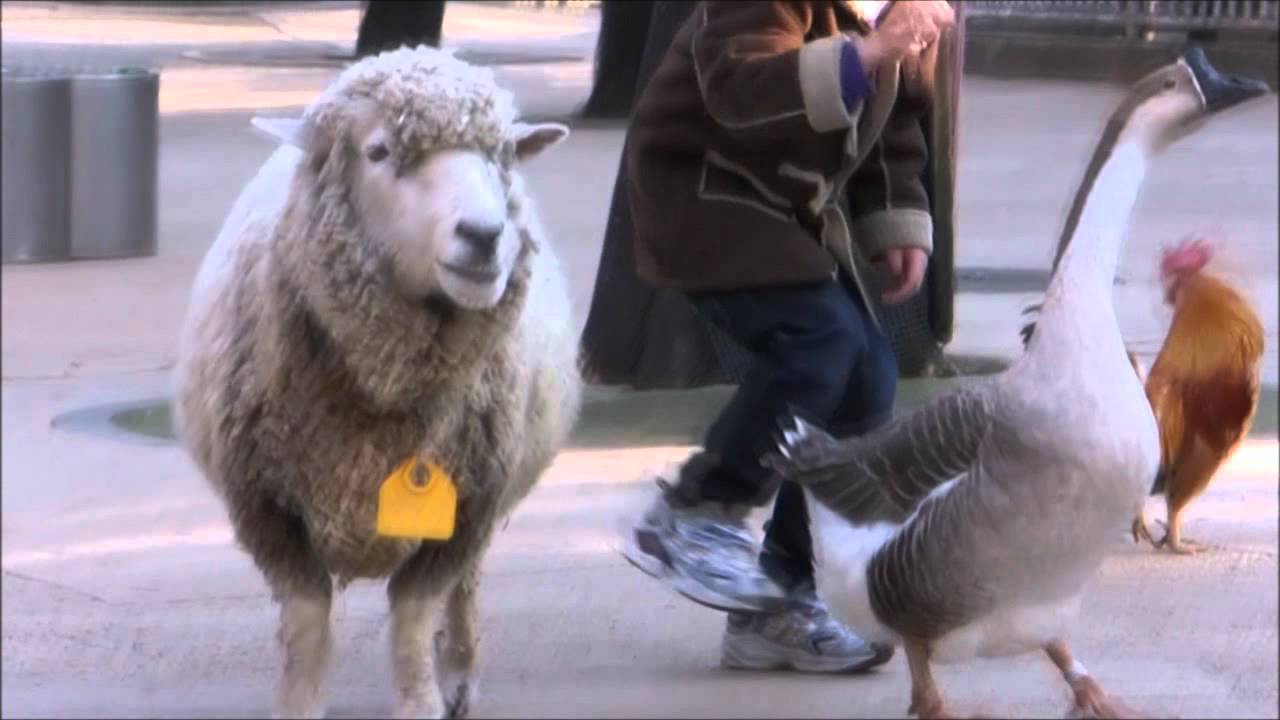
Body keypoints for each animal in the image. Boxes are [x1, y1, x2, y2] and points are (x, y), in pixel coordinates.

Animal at [172, 46, 582, 719]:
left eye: (499, 158)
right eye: (379, 151)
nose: (485, 236)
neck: (383, 388)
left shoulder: (464, 512)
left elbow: (413, 616)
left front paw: (422, 700)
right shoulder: (269, 512)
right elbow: (308, 621)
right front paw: (299, 704)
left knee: (467, 587)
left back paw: (460, 668)